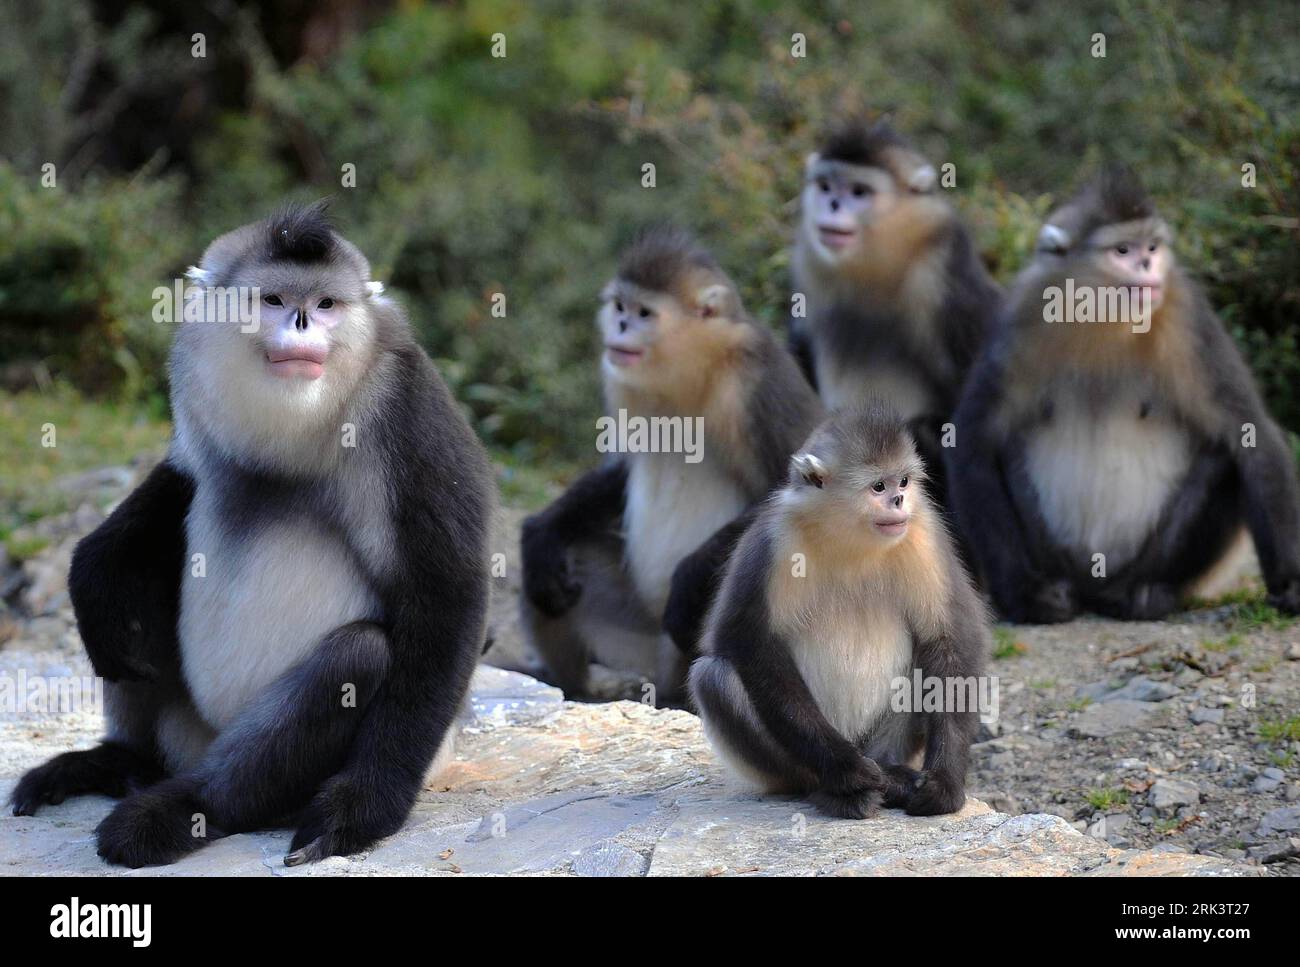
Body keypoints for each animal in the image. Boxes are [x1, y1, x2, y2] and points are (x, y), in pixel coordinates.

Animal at [9, 202, 493, 868]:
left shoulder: (407, 404)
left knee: (358, 656)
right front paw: (94, 563)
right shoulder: (193, 383)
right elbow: (184, 474)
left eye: (325, 304)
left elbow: (447, 595)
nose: (300, 323)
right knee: (134, 600)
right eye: (273, 299)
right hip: (183, 725)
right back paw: (119, 762)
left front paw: (359, 812)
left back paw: (186, 809)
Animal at [520, 227, 824, 703]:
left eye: (644, 313)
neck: (691, 370)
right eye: (621, 307)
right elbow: (621, 469)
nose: (622, 327)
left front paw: (686, 580)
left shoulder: (755, 378)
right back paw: (581, 689)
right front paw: (543, 531)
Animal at [689, 401, 988, 818]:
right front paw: (845, 770)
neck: (850, 539)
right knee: (713, 676)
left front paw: (944, 782)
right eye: (878, 487)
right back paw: (834, 787)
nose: (898, 501)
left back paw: (892, 775)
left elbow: (951, 638)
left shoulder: (923, 532)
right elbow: (746, 642)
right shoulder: (772, 540)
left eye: (903, 482)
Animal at [947, 166, 1300, 623]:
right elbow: (973, 440)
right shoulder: (1022, 319)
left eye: (1151, 247)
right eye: (1122, 250)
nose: (1148, 264)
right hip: (1055, 554)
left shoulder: (1187, 317)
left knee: (1223, 459)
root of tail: (1094, 588)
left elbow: (1252, 438)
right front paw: (1024, 595)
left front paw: (1291, 586)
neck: (1103, 319)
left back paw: (1141, 594)